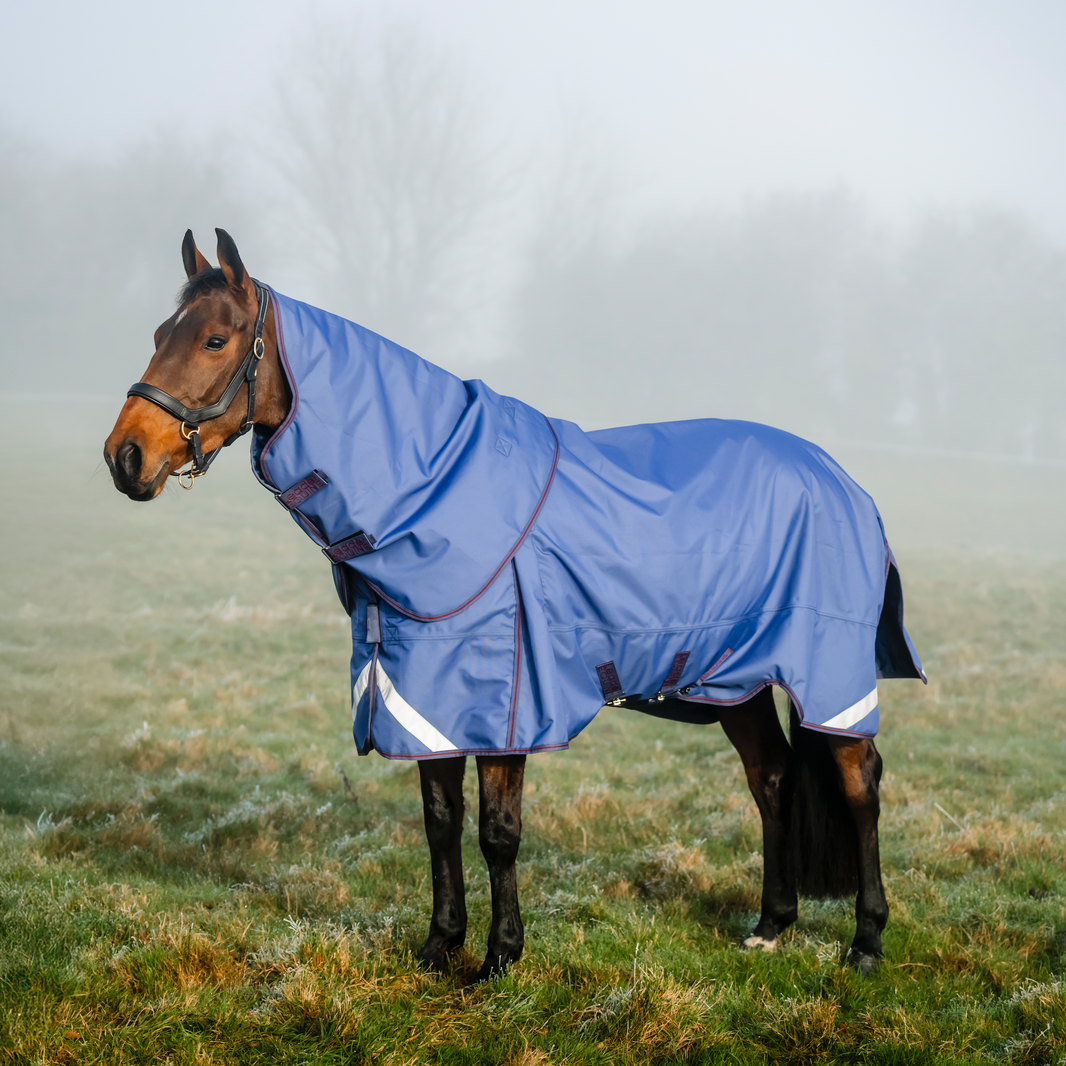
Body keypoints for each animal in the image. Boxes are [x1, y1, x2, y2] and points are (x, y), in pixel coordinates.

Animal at [104, 229, 924, 982]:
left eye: (215, 339)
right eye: (159, 335)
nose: (125, 457)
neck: (432, 490)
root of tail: (846, 481)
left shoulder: (503, 700)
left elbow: (498, 831)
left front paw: (500, 958)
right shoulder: (419, 697)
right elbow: (440, 825)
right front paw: (439, 948)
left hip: (829, 673)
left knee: (859, 784)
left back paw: (865, 941)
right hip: (736, 678)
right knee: (773, 779)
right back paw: (770, 925)